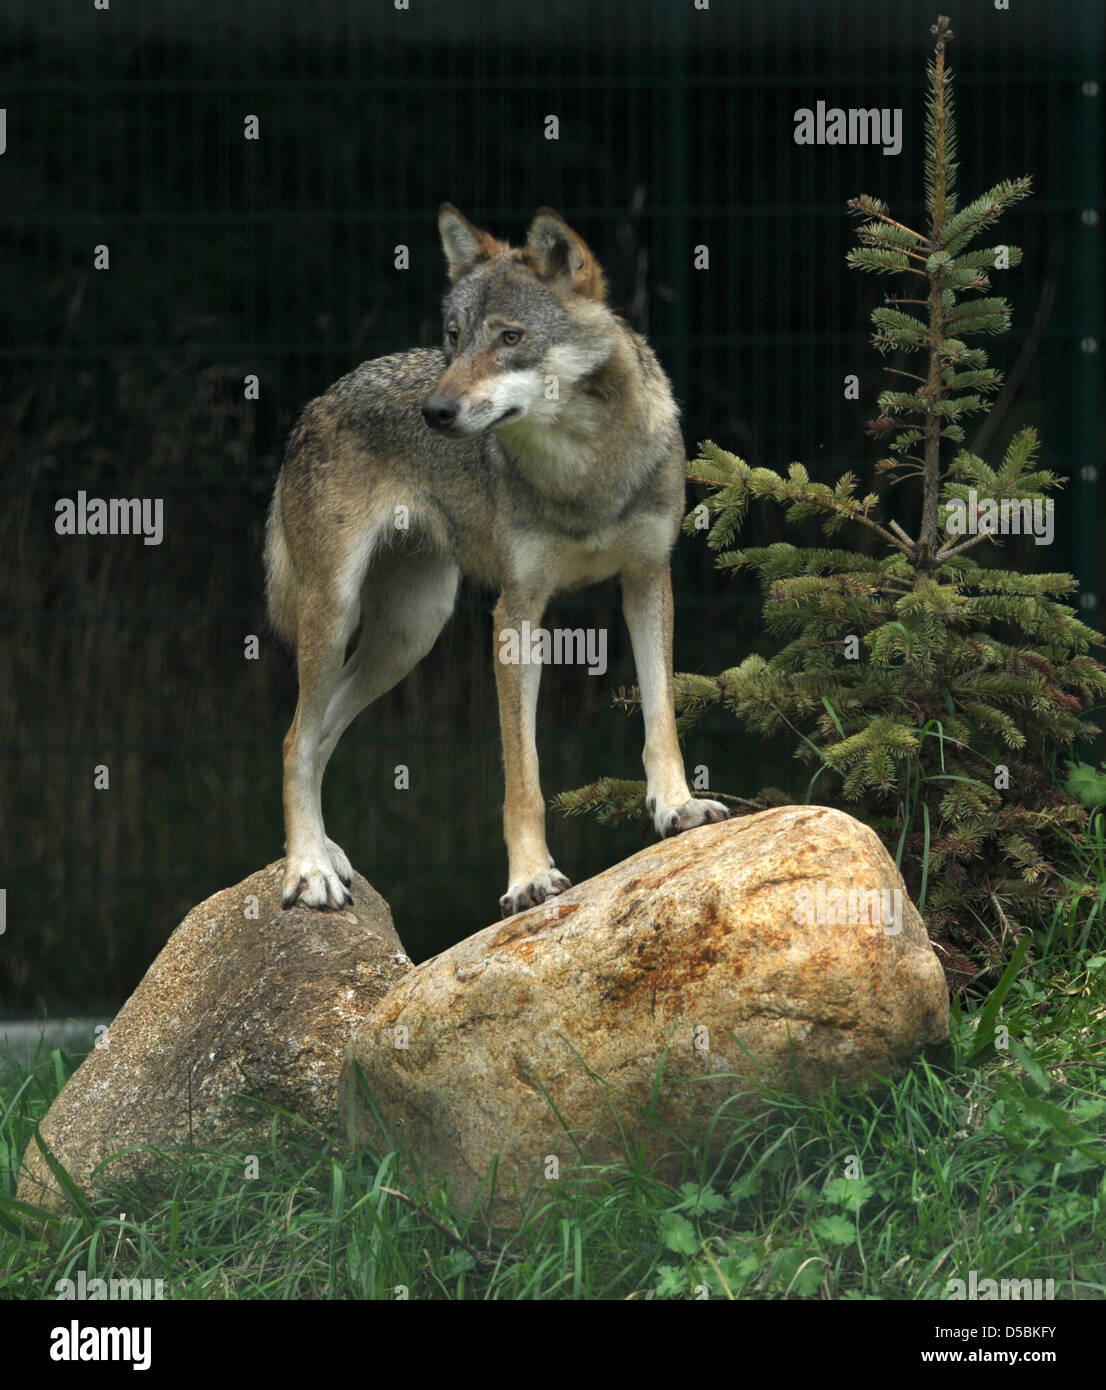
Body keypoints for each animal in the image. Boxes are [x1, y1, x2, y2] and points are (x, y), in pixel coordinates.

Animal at [264, 204, 730, 916]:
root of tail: (315, 404)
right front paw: (529, 879)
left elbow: (661, 720)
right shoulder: (516, 612)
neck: (583, 469)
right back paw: (309, 868)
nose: (434, 411)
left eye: (510, 337)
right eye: (454, 339)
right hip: (337, 617)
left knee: (318, 738)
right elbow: (523, 776)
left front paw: (678, 808)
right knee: (294, 739)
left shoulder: (649, 580)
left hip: (410, 635)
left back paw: (327, 853)